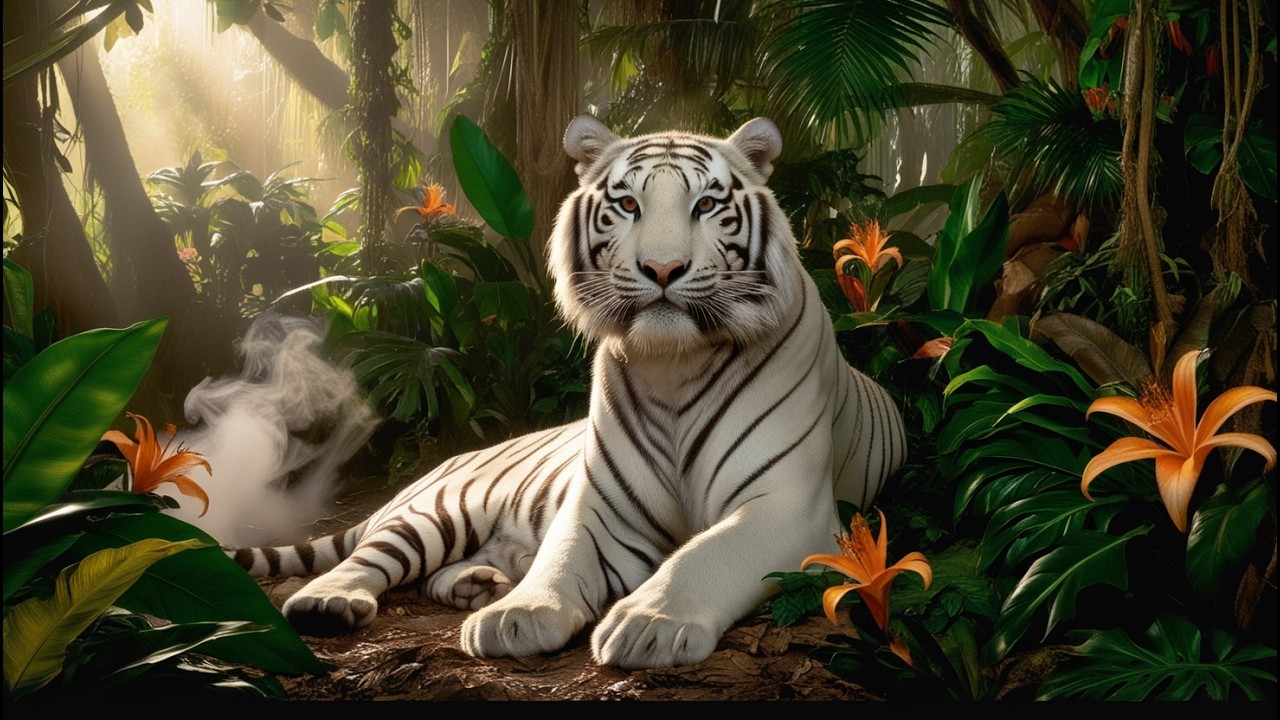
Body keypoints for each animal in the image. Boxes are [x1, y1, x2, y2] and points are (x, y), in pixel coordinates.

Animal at [232, 114, 907, 670]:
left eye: (708, 204)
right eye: (628, 203)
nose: (663, 270)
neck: (674, 364)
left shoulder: (788, 504)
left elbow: (707, 553)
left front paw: (648, 625)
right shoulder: (602, 504)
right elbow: (561, 556)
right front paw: (520, 614)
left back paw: (477, 584)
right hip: (438, 512)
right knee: (366, 559)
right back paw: (331, 602)